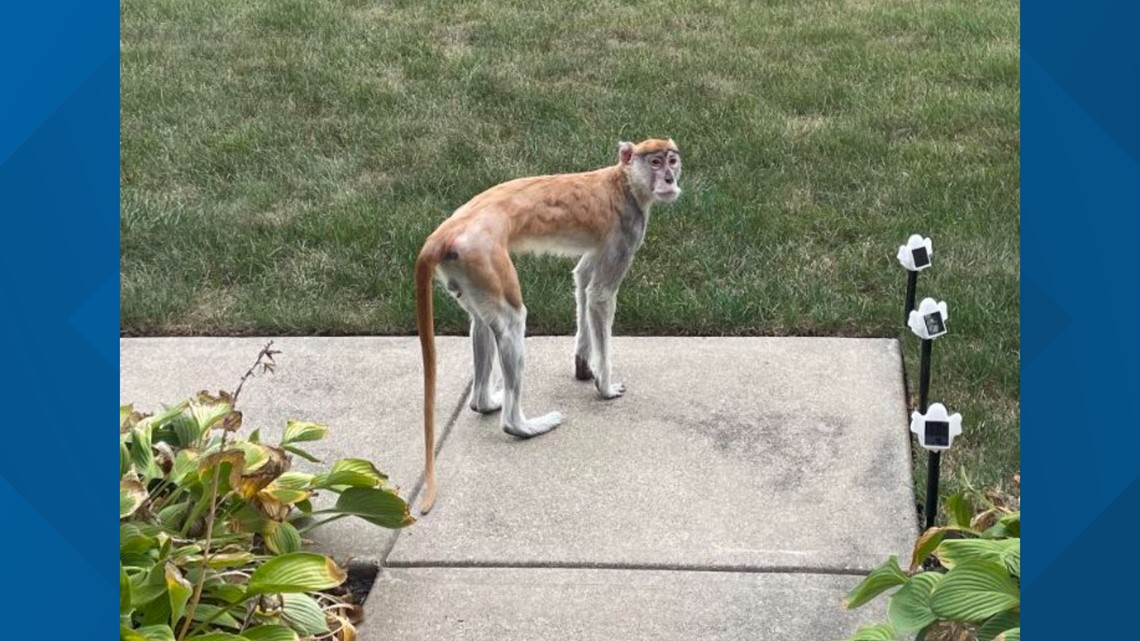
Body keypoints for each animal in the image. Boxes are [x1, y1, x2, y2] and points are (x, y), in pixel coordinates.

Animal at [415, 138, 682, 513]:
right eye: (655, 162)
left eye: (673, 160)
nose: (670, 179)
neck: (623, 181)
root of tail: (444, 234)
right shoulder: (627, 229)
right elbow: (600, 295)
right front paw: (605, 386)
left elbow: (583, 280)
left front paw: (583, 364)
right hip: (484, 258)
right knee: (512, 321)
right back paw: (521, 425)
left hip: (465, 269)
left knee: (481, 323)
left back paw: (484, 402)